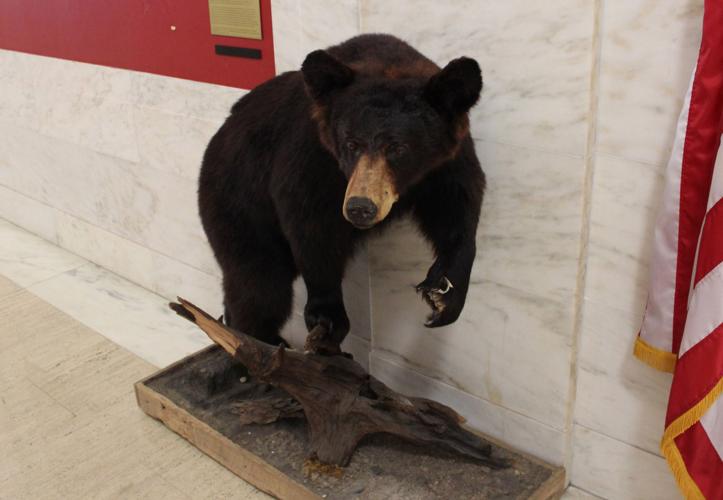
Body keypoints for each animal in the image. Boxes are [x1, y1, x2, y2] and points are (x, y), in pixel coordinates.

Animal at [198, 34, 484, 355]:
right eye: (351, 143)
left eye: (398, 147)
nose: (360, 207)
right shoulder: (313, 158)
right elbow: (311, 226)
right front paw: (329, 316)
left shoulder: (445, 164)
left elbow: (458, 208)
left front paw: (444, 295)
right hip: (238, 201)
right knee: (259, 282)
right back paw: (256, 340)